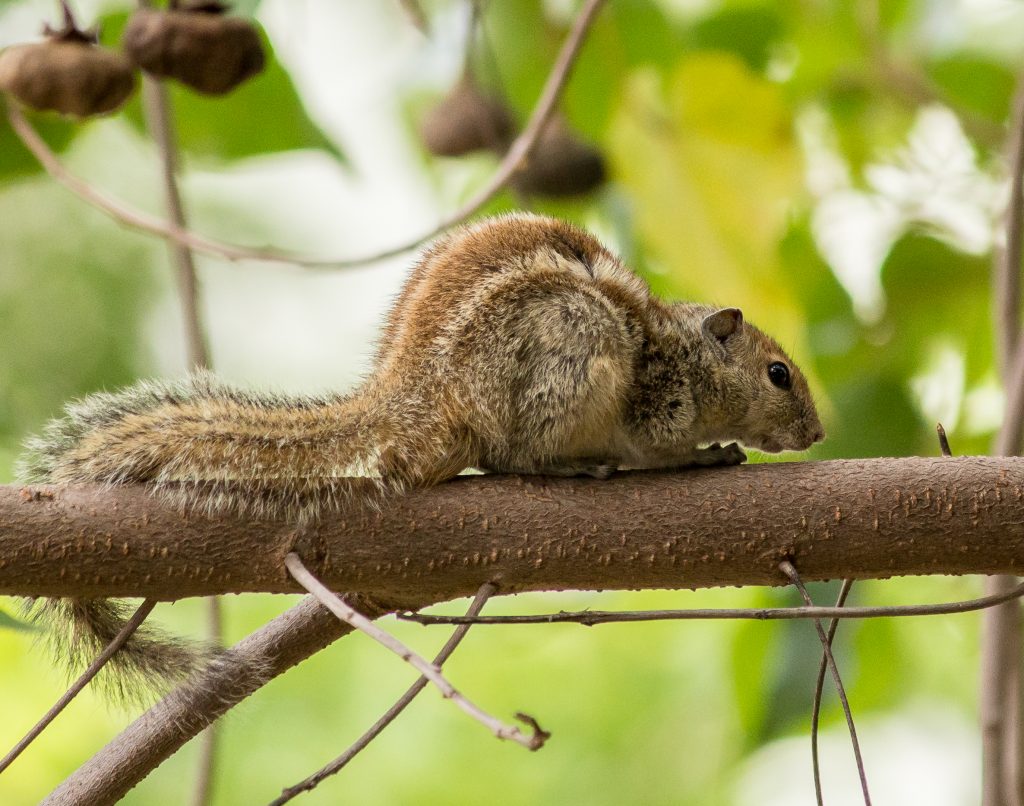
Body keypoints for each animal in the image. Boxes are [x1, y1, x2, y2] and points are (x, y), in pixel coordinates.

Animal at [17, 213, 824, 690]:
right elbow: (659, 448)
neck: (683, 352)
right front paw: (705, 453)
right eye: (778, 374)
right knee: (515, 456)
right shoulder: (653, 404)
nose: (817, 434)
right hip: (572, 346)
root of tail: (411, 397)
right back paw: (577, 462)